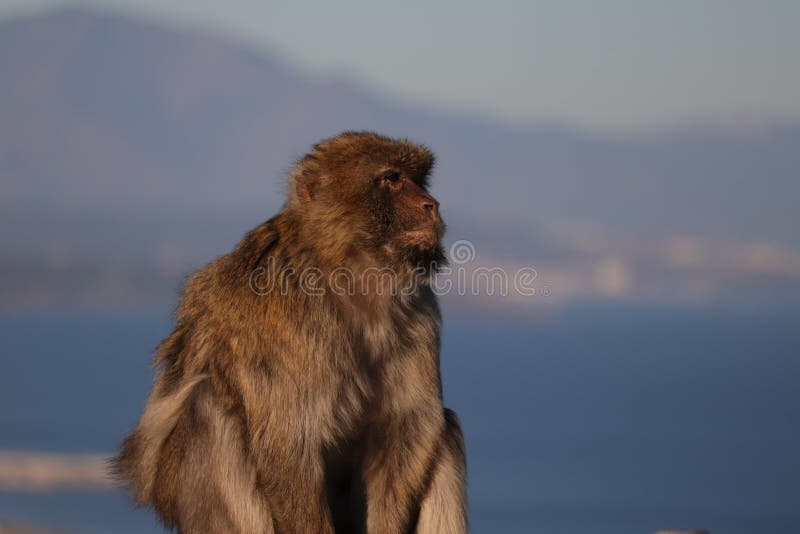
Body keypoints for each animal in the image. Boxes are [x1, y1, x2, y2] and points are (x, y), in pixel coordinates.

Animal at [113, 131, 467, 533]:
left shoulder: (420, 311)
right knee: (207, 407)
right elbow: (287, 442)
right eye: (391, 178)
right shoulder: (288, 313)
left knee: (446, 428)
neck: (348, 271)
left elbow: (403, 428)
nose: (431, 205)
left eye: (419, 179)